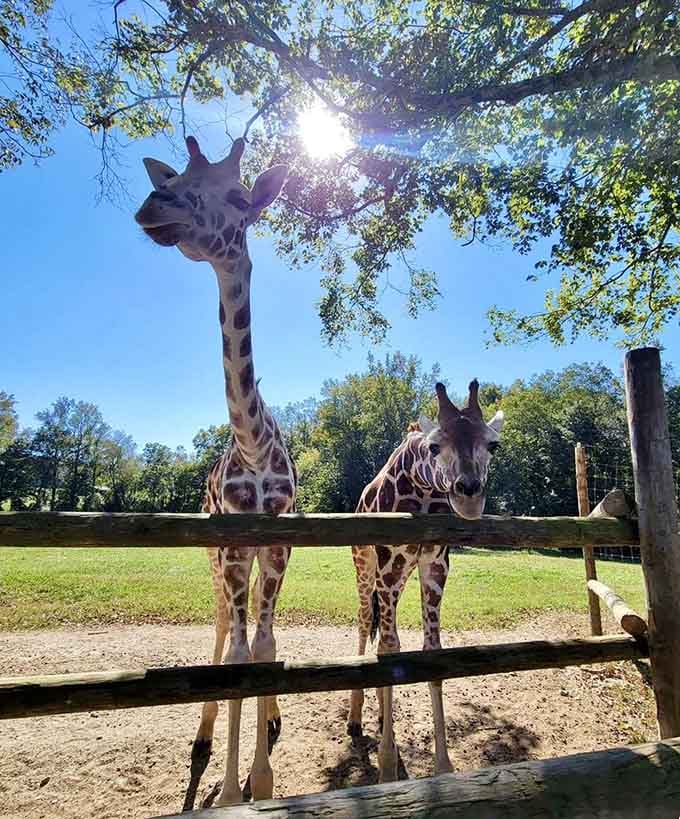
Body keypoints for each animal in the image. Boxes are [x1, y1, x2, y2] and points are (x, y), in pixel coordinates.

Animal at [348, 380, 504, 782]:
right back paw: (354, 719)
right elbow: (389, 649)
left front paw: (443, 766)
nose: (469, 494)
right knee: (364, 624)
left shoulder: (434, 565)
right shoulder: (389, 565)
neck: (421, 489)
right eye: (435, 446)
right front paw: (388, 767)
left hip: (400, 575)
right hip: (365, 566)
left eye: (492, 445)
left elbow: (431, 651)